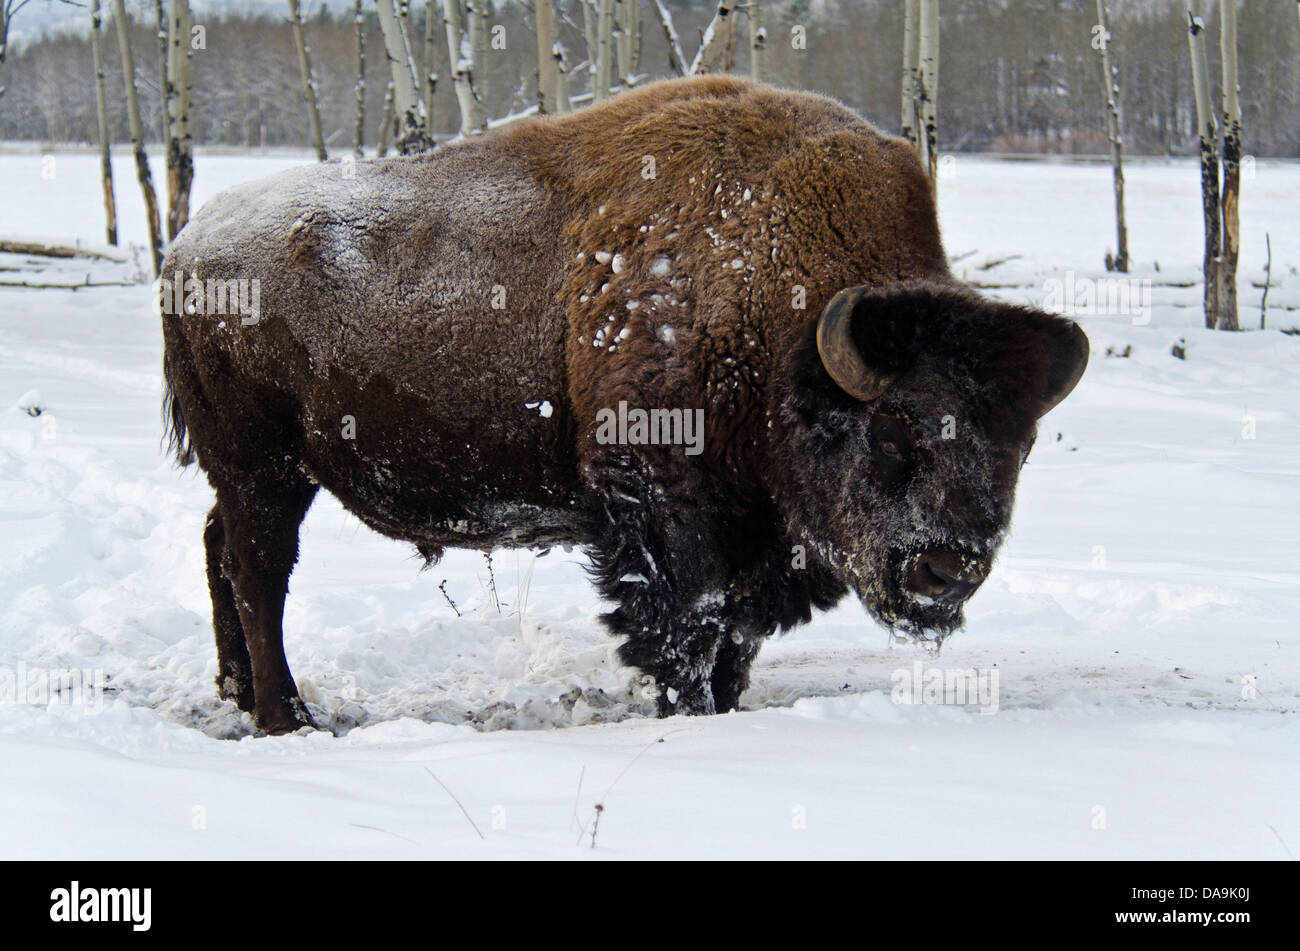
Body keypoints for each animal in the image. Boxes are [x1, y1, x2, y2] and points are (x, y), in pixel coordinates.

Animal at [160, 76, 1088, 733]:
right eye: (892, 434)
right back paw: (287, 716)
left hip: (258, 475)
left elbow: (734, 639)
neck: (776, 309)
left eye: (1018, 445)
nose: (950, 567)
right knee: (258, 571)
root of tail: (188, 244)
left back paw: (238, 694)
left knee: (218, 549)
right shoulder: (664, 511)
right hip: (263, 468)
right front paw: (689, 713)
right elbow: (689, 630)